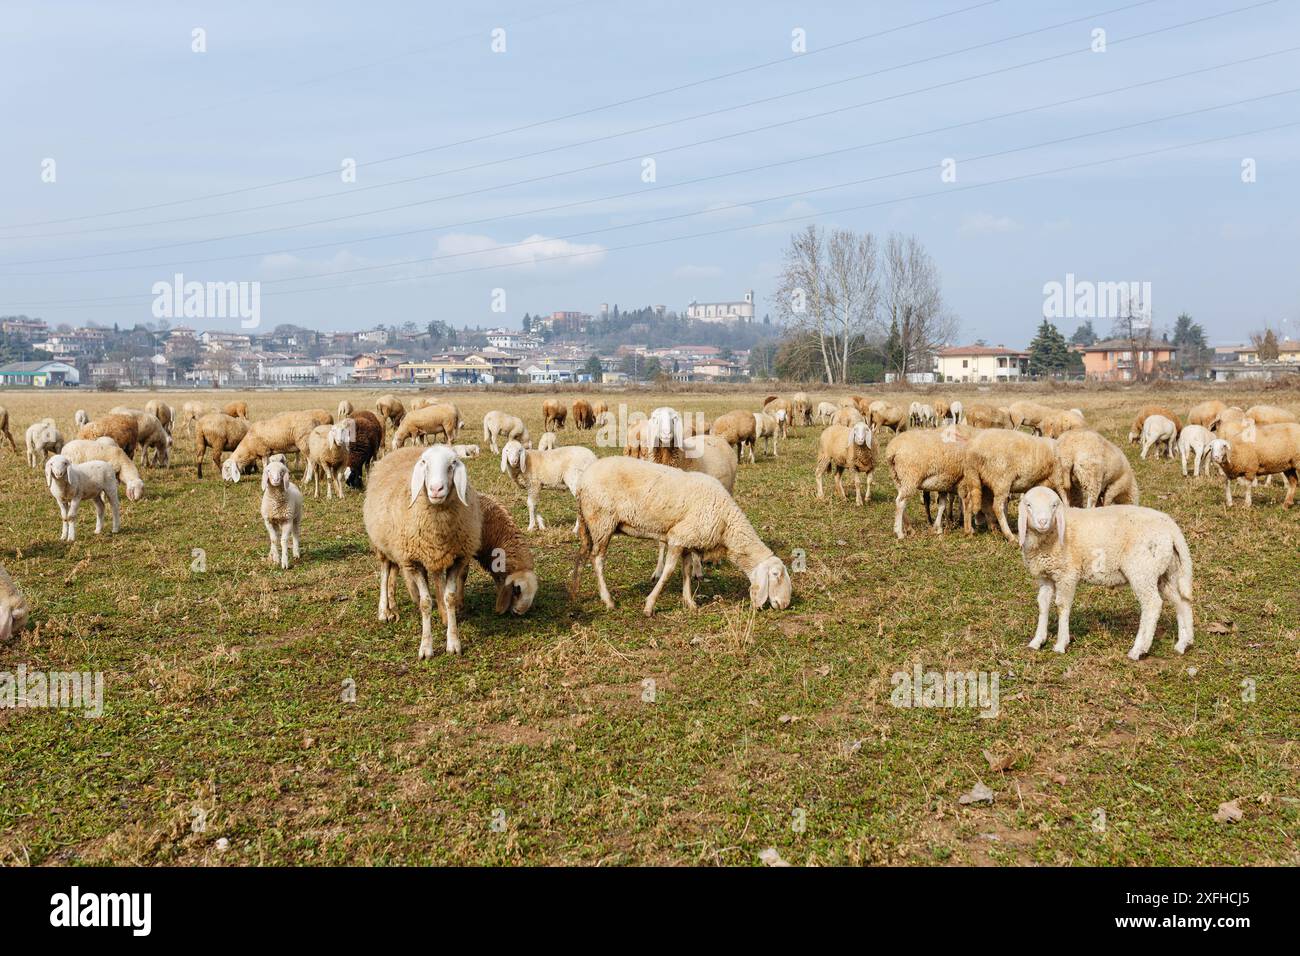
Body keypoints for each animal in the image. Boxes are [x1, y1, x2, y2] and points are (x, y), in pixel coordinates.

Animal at [363, 445, 482, 659]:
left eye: (452, 463)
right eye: (425, 463)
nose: (436, 489)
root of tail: (404, 448)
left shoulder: (457, 558)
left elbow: (450, 598)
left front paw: (453, 642)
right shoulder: (414, 561)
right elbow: (425, 603)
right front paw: (426, 647)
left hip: (404, 550)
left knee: (399, 573)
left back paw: (400, 608)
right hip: (383, 546)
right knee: (385, 574)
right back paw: (384, 611)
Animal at [571, 456, 793, 615]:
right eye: (776, 575)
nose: (784, 604)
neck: (726, 525)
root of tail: (582, 481)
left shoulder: (688, 540)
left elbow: (686, 571)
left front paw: (690, 602)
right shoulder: (678, 537)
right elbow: (669, 571)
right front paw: (649, 606)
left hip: (587, 522)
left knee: (582, 554)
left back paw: (575, 592)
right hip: (602, 520)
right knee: (597, 559)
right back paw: (608, 600)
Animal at [1017, 486, 1193, 659]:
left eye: (1053, 505)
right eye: (1029, 505)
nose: (1043, 522)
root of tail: (1170, 526)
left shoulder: (1067, 575)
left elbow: (1062, 605)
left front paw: (1061, 644)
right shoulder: (1045, 576)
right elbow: (1043, 603)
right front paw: (1037, 641)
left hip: (1142, 570)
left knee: (1152, 604)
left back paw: (1138, 649)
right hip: (1167, 571)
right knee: (1181, 601)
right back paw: (1183, 643)